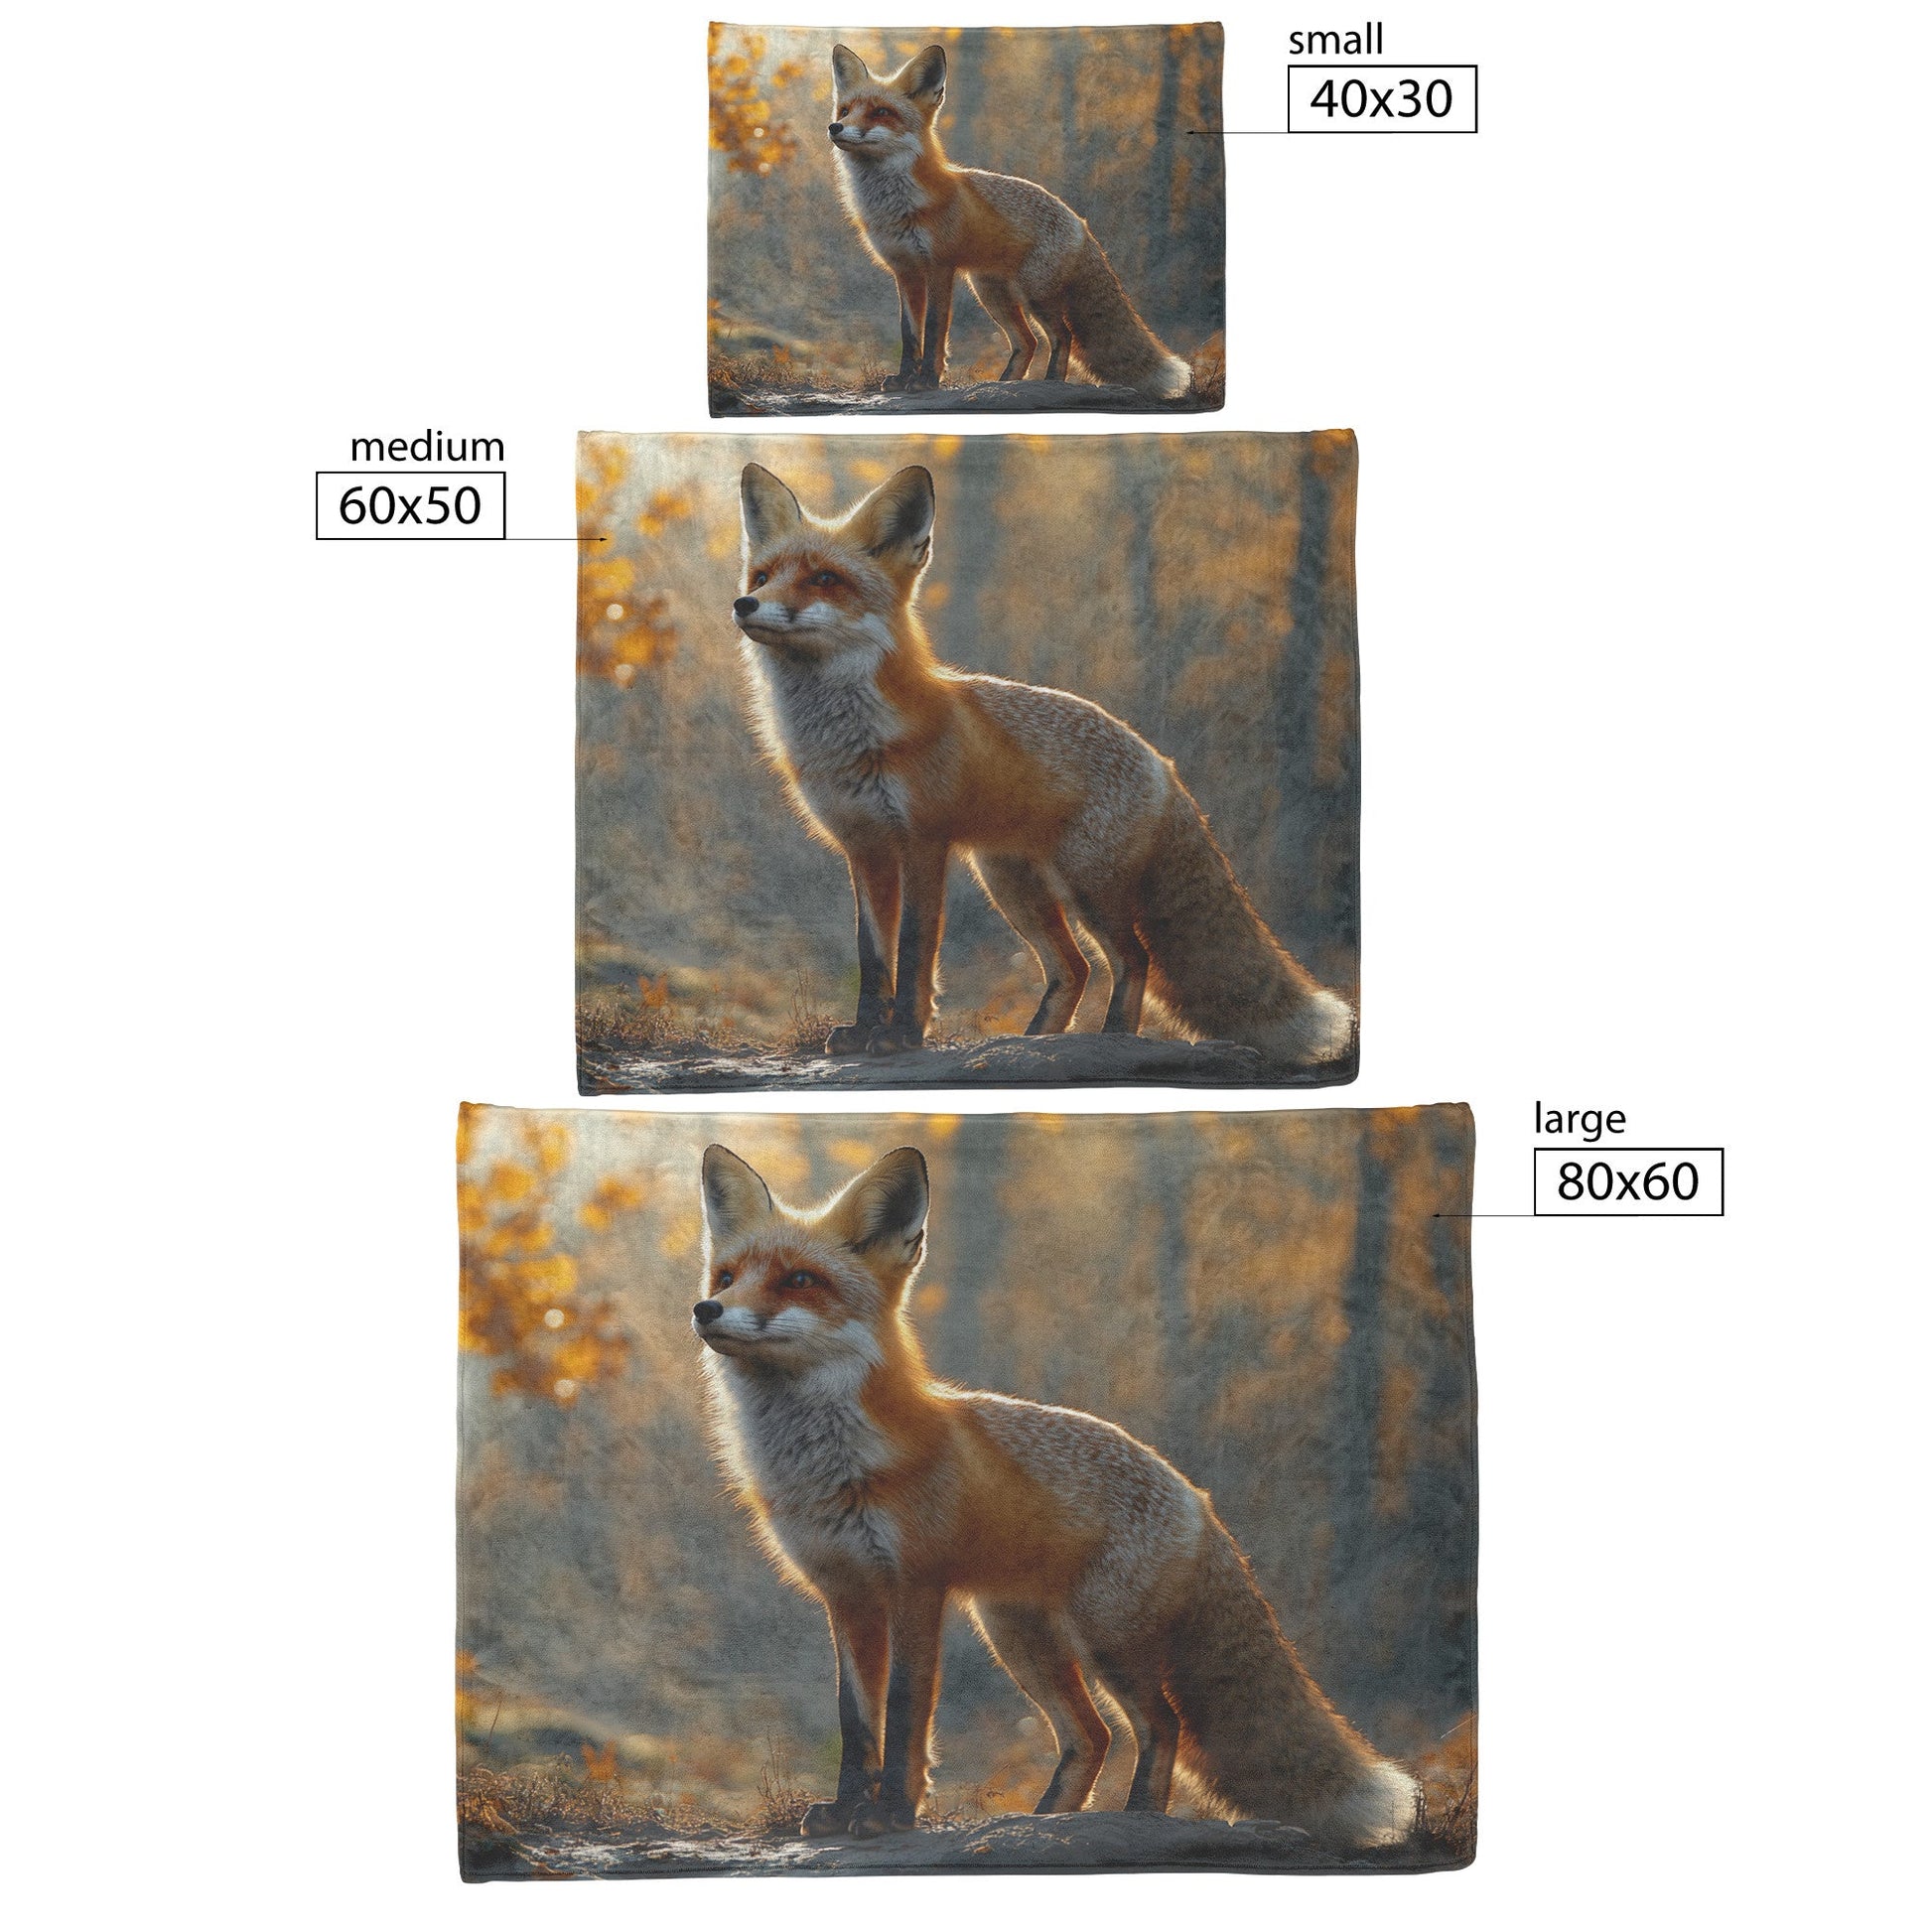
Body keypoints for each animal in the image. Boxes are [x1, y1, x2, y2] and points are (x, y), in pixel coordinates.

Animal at [692, 1143, 1421, 1847]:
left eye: (799, 1280)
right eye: (726, 1278)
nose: (706, 1309)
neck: (828, 1466)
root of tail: (1195, 1495)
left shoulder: (917, 1586)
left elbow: (903, 1717)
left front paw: (890, 1814)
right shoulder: (847, 1596)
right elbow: (856, 1724)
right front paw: (847, 1812)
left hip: (1103, 1639)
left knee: (1161, 1724)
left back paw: (1137, 1822)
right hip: (1020, 1639)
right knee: (1092, 1736)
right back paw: (1044, 1824)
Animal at [731, 460, 1356, 1069]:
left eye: (824, 579)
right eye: (761, 577)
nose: (744, 604)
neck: (851, 738)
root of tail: (1162, 763)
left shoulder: (923, 842)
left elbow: (913, 953)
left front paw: (902, 1036)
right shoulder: (865, 849)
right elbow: (874, 958)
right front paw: (864, 1032)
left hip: (1085, 886)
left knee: (1133, 958)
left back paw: (1112, 1043)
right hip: (1012, 886)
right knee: (1074, 969)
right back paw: (1034, 1044)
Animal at [826, 43, 1192, 399]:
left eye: (881, 112)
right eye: (844, 111)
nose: (835, 127)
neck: (895, 205)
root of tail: (1079, 221)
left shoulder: (940, 267)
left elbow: (933, 332)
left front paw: (927, 380)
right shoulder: (905, 271)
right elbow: (910, 334)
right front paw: (904, 379)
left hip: (1033, 293)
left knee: (1062, 336)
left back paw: (1050, 385)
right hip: (992, 293)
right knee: (1027, 342)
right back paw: (1004, 386)